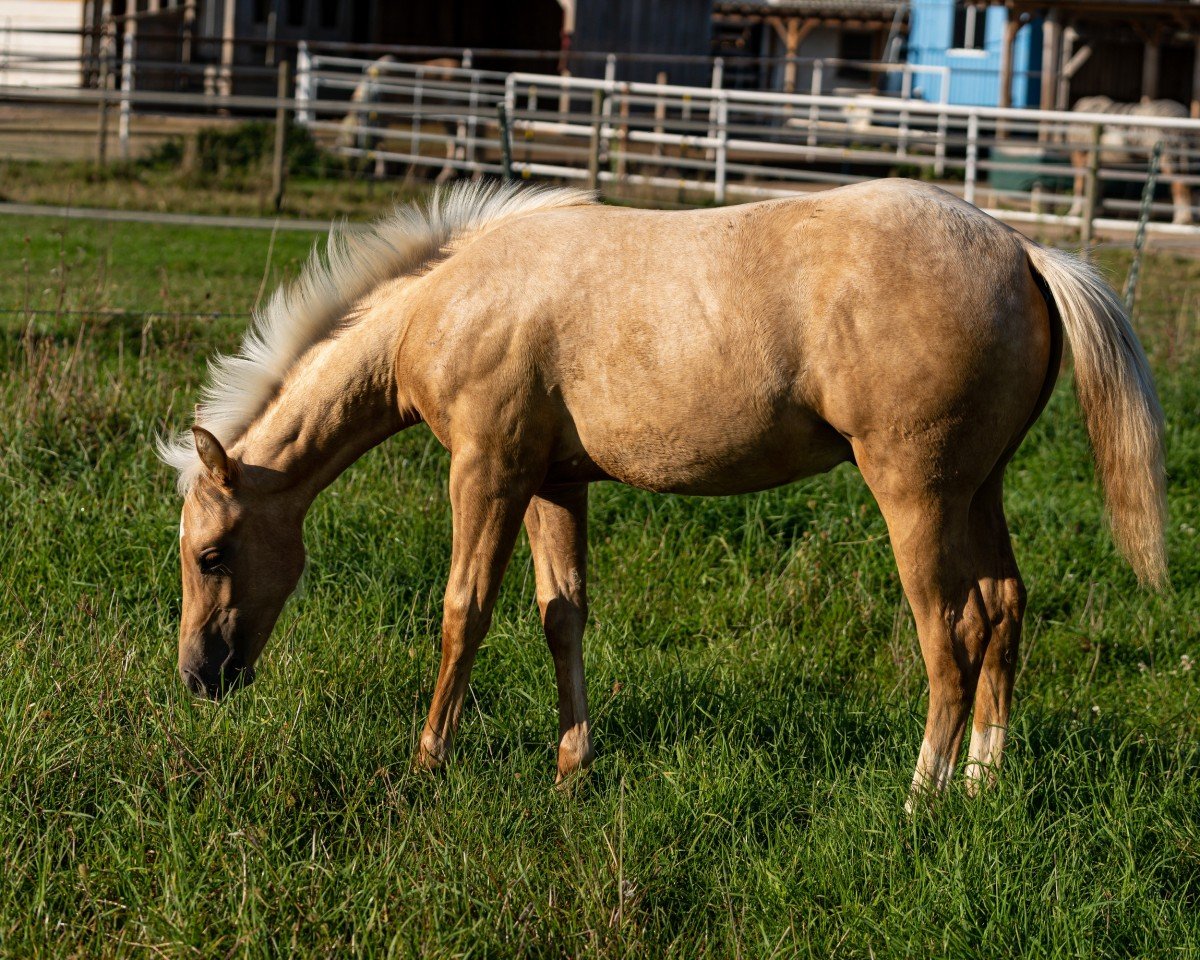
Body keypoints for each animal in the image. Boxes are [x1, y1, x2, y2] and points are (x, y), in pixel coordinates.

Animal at [160, 179, 1166, 809]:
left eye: (212, 554)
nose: (200, 679)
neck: (448, 299)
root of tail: (1022, 249)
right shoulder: (553, 483)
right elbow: (561, 615)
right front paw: (572, 769)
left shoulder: (488, 470)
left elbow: (463, 611)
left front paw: (426, 764)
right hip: (977, 491)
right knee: (1004, 611)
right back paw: (984, 785)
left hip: (916, 496)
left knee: (952, 633)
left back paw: (924, 798)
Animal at [1069, 96, 1194, 225]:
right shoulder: (1096, 159)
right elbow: (1097, 185)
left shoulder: (1079, 153)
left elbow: (1079, 184)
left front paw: (1074, 211)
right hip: (1181, 158)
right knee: (1185, 184)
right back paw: (1185, 219)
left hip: (1168, 157)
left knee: (1178, 186)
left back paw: (1180, 219)